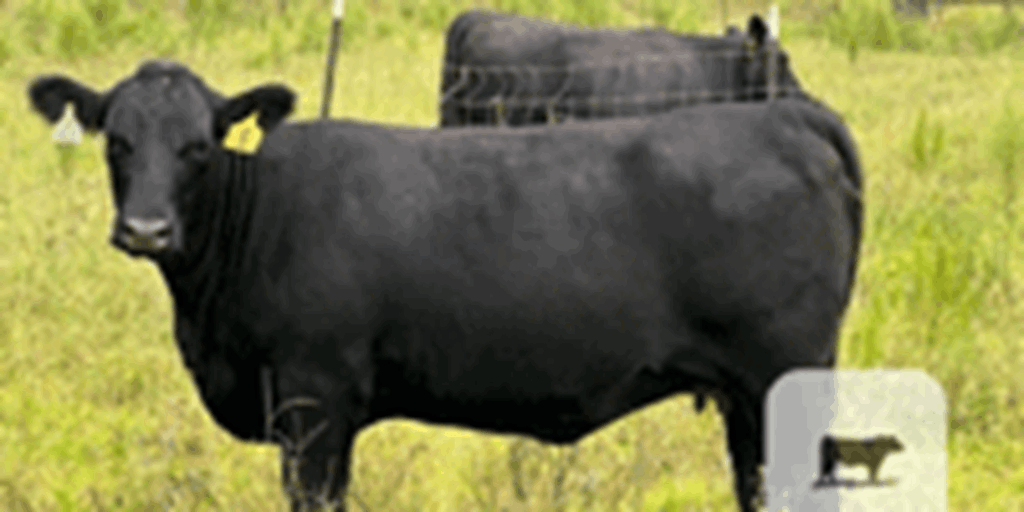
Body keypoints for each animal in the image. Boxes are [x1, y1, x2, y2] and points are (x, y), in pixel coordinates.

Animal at [28, 60, 862, 512]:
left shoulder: (314, 397)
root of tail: (786, 119)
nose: (146, 230)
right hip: (747, 400)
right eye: (117, 140)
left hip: (782, 375)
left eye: (199, 145)